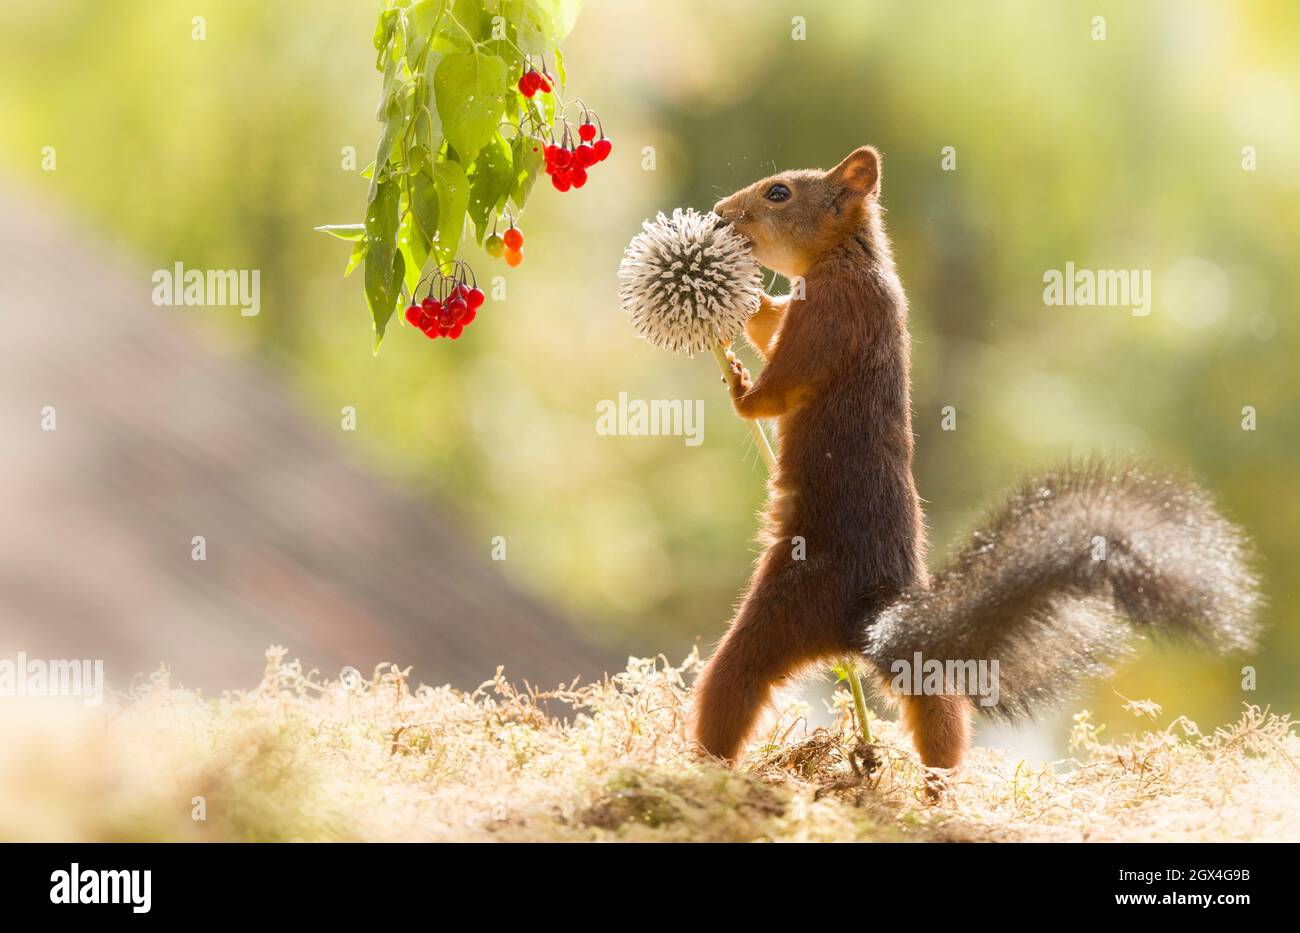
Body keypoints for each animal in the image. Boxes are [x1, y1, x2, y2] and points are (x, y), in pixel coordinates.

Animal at [694, 145, 1261, 769]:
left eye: (778, 194)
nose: (719, 215)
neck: (848, 258)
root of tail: (871, 620)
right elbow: (771, 325)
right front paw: (749, 301)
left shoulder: (833, 315)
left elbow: (780, 386)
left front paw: (740, 385)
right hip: (905, 671)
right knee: (941, 713)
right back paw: (941, 784)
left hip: (789, 605)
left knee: (735, 679)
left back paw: (707, 768)